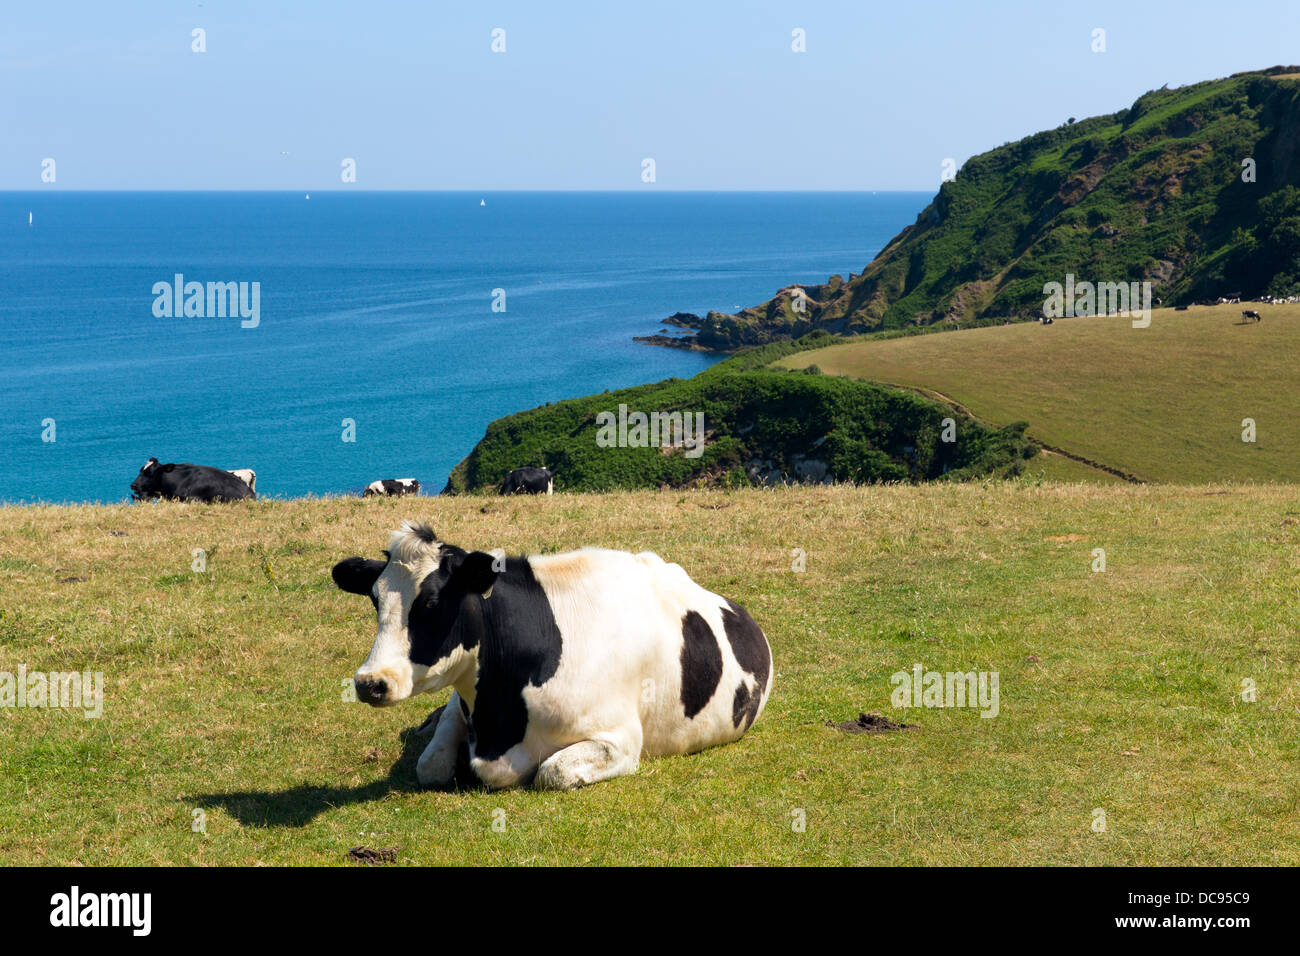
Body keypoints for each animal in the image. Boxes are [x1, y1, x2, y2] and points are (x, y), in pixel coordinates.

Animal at [332, 521, 773, 791]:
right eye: (374, 600)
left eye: (432, 602)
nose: (370, 682)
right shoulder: (463, 703)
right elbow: (431, 765)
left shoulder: (621, 740)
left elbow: (552, 772)